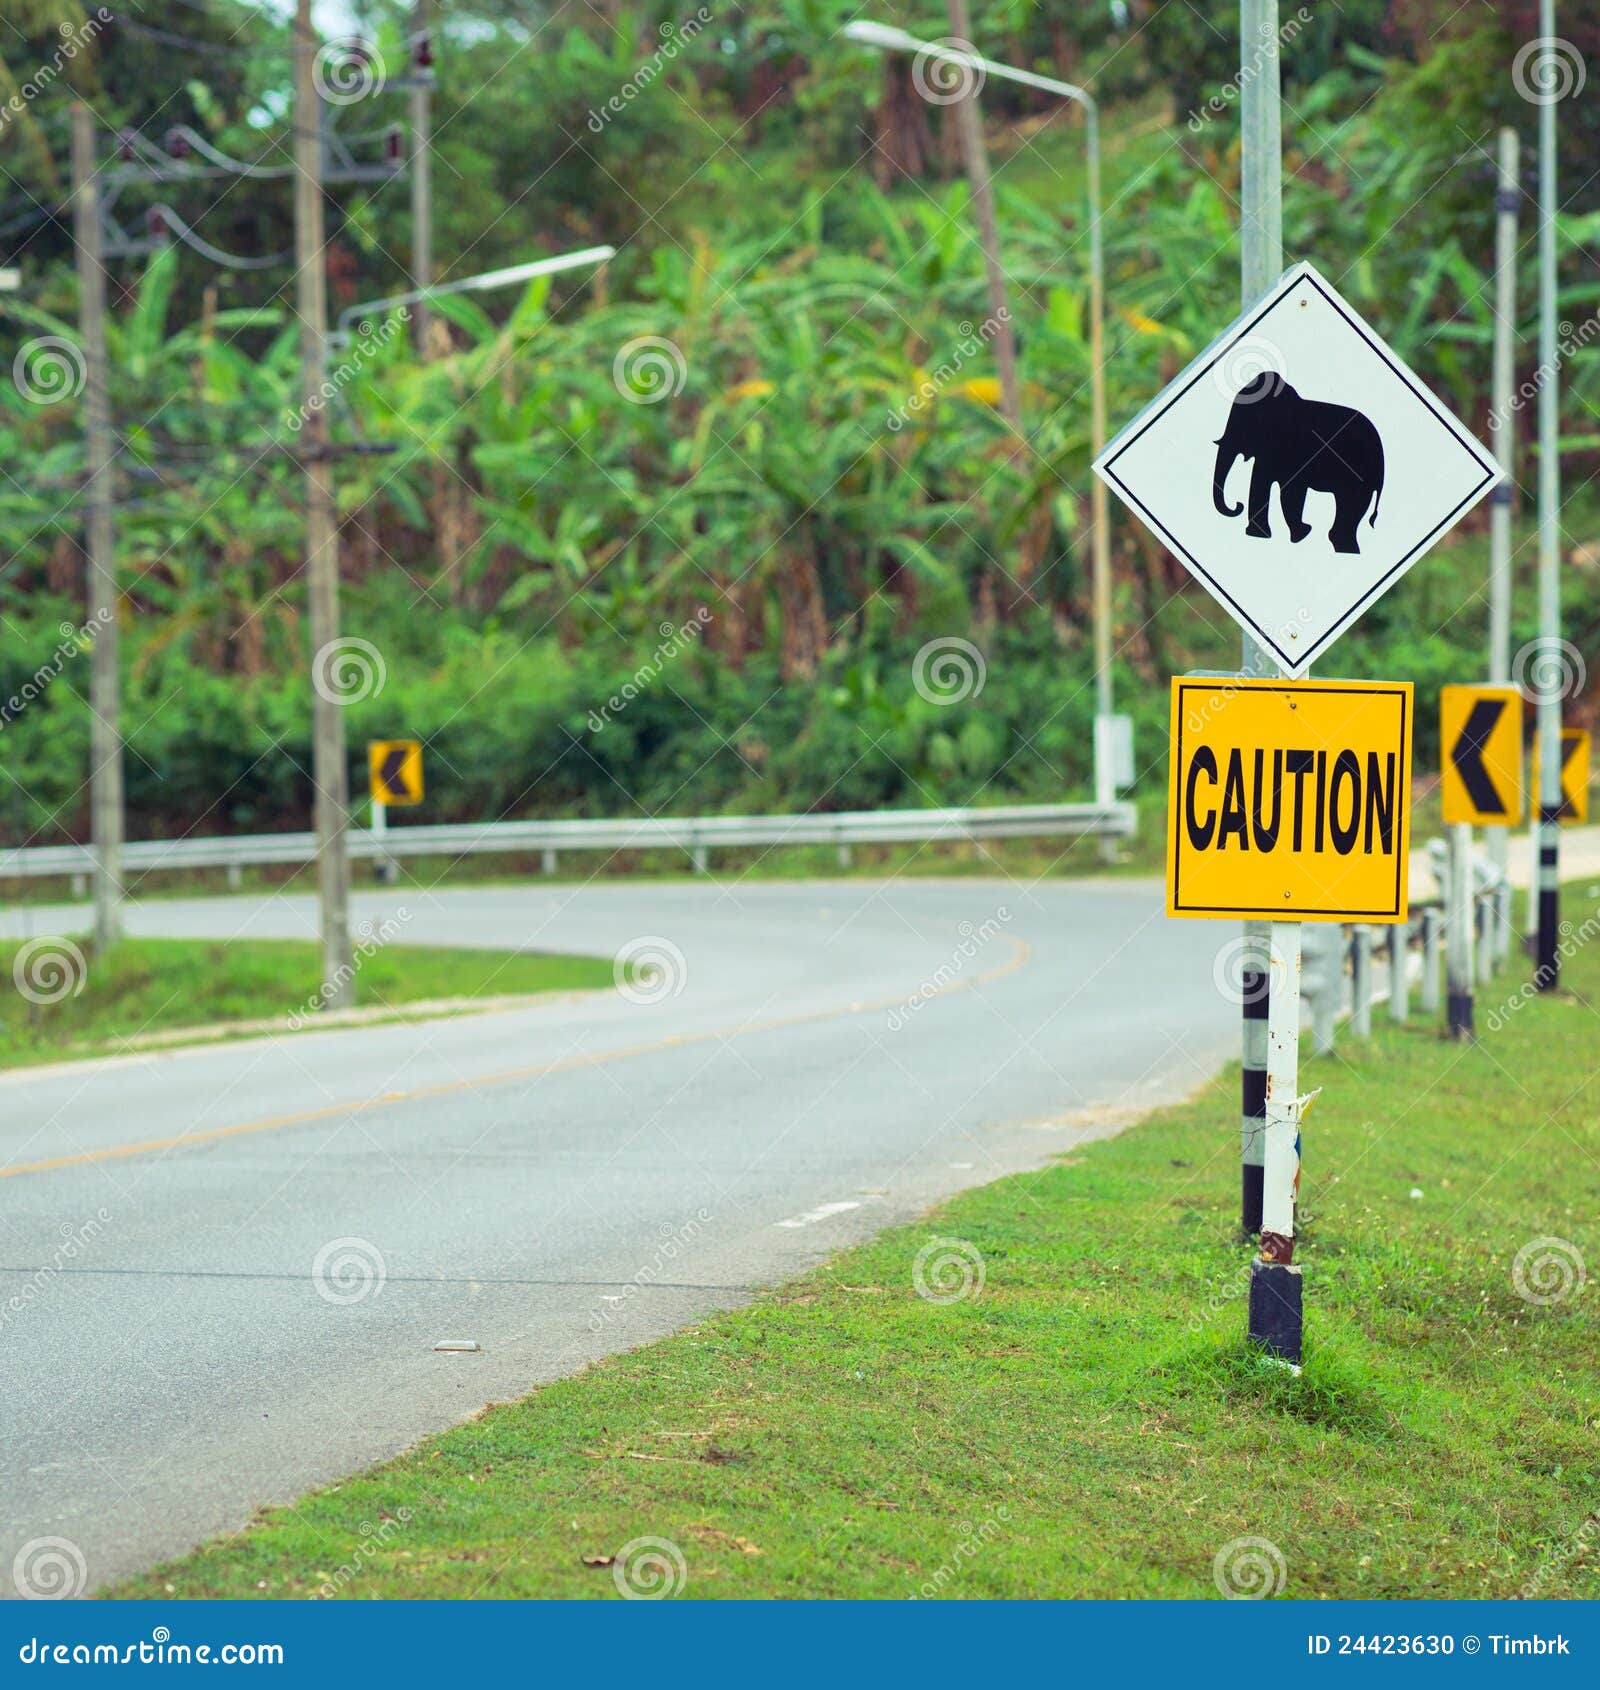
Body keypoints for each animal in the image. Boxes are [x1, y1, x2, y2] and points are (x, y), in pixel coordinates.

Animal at [1212, 373, 1385, 555]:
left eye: (1250, 419)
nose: (1238, 505)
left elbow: (1287, 489)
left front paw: (1300, 534)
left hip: (1361, 475)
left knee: (1351, 505)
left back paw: (1346, 549)